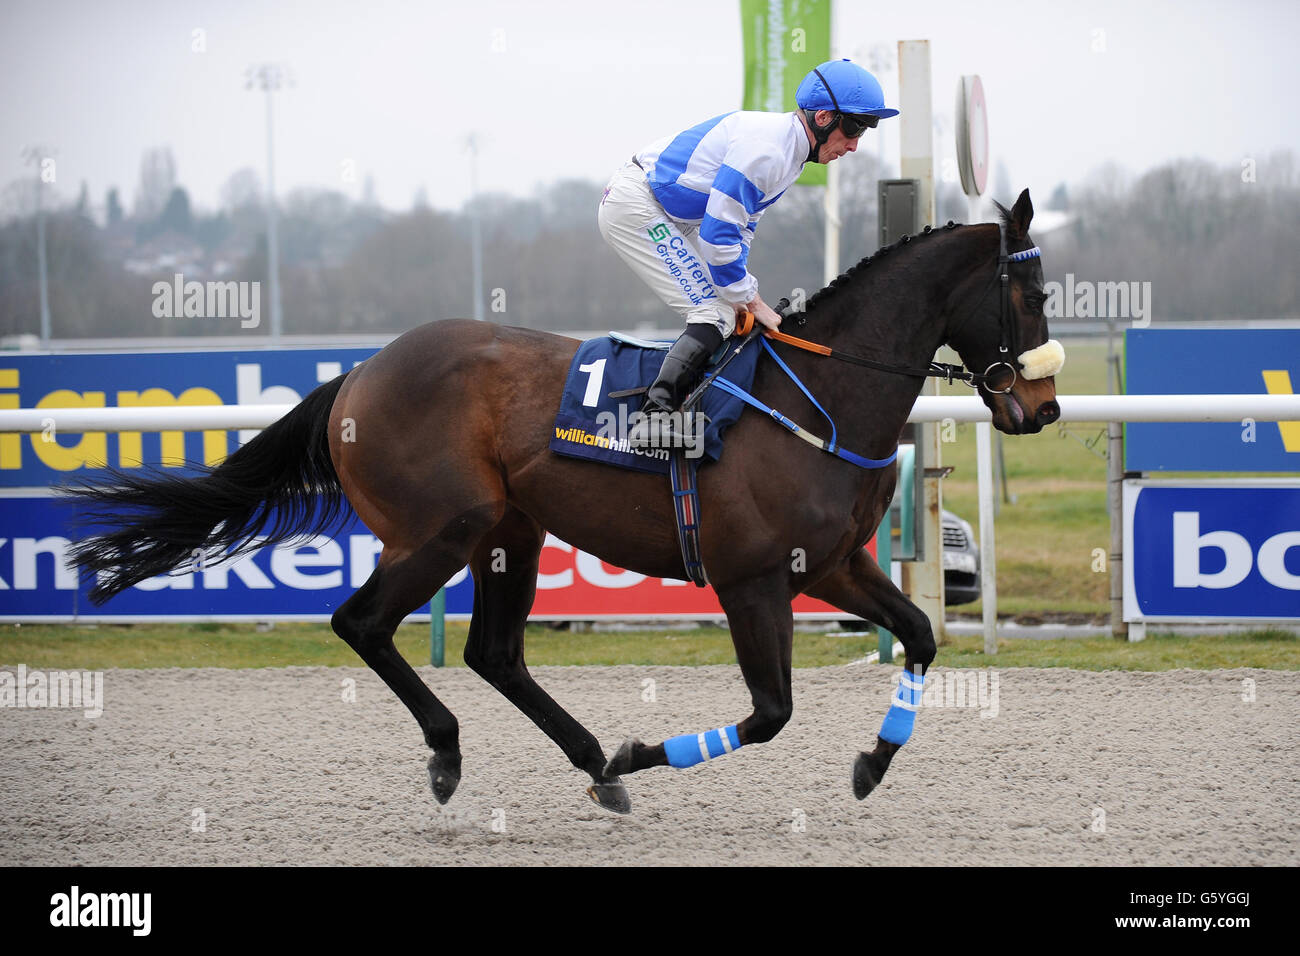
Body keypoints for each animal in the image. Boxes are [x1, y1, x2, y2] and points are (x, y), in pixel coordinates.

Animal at [65, 189, 1060, 815]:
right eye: (1030, 291)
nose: (1041, 407)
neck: (818, 399)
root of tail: (360, 373)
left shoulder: (834, 563)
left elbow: (922, 635)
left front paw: (871, 763)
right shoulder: (751, 579)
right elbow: (771, 714)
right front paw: (642, 752)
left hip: (511, 530)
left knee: (494, 652)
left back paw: (588, 761)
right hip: (443, 527)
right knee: (363, 624)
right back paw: (452, 750)